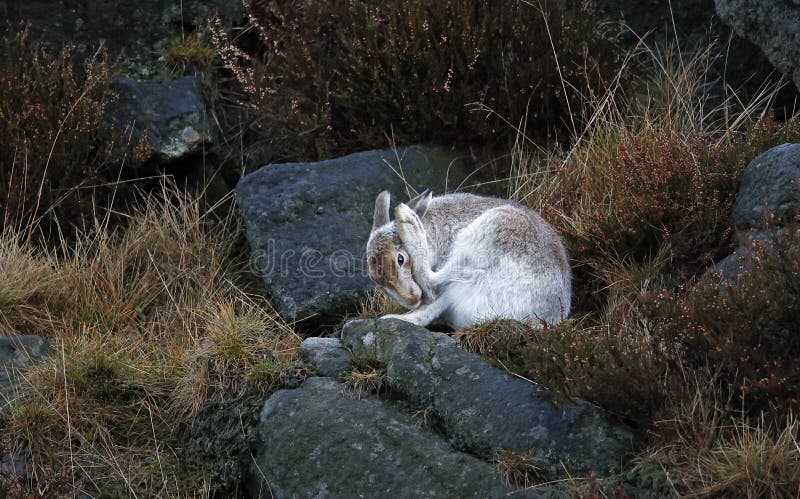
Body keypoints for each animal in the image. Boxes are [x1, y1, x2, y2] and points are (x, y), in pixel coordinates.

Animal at [366, 189, 571, 329]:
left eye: (400, 259)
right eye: (377, 282)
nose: (411, 300)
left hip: (497, 227)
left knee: (433, 279)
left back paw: (407, 220)